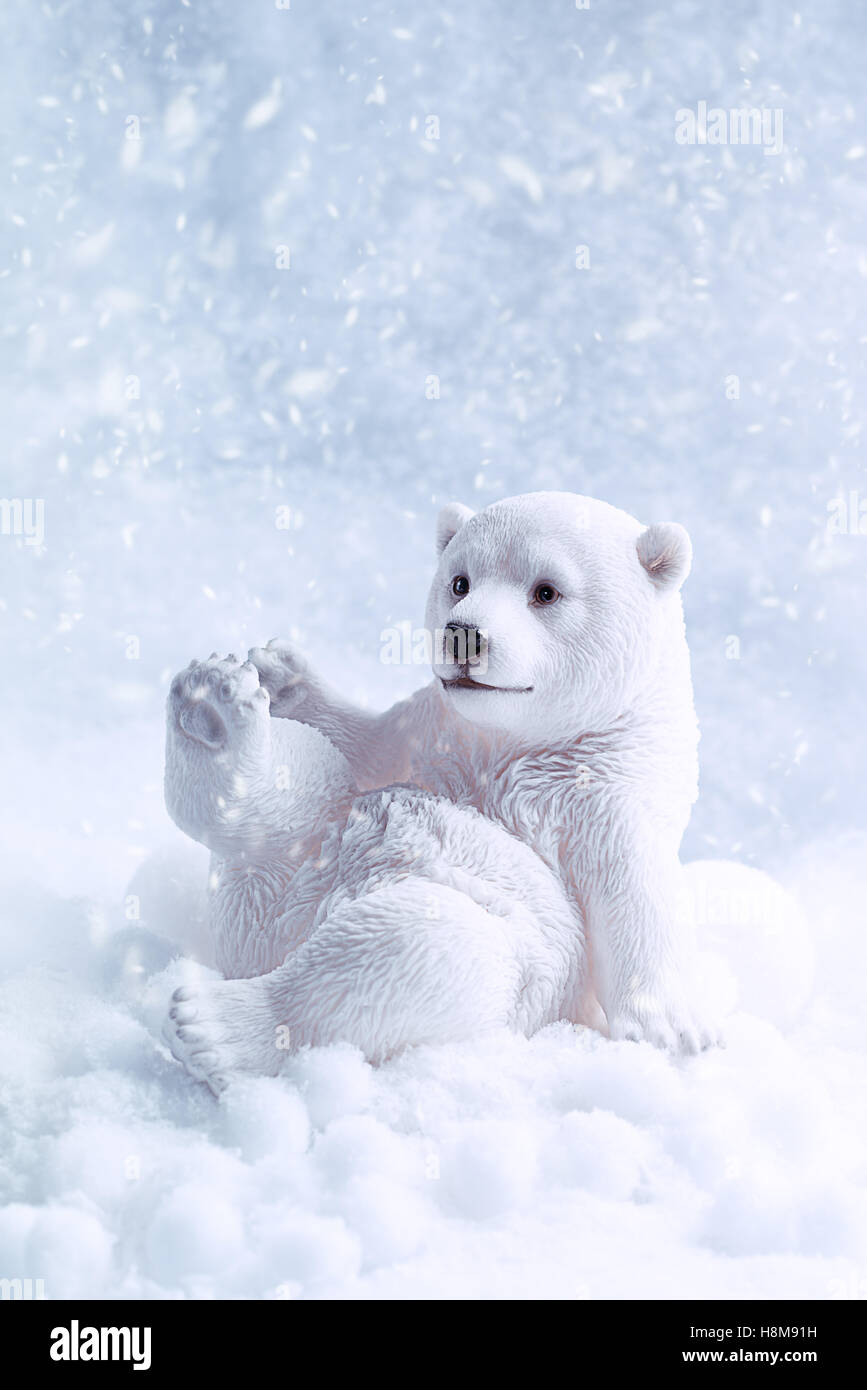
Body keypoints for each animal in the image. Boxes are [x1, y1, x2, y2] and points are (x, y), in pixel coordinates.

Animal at [163, 491, 720, 1093]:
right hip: (298, 858)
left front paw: (670, 1029)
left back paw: (215, 1025)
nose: (464, 634)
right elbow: (368, 744)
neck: (510, 743)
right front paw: (283, 672)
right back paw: (211, 708)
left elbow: (632, 883)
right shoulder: (435, 730)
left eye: (546, 591)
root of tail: (272, 941)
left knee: (429, 949)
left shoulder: (609, 786)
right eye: (460, 581)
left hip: (528, 961)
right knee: (299, 796)